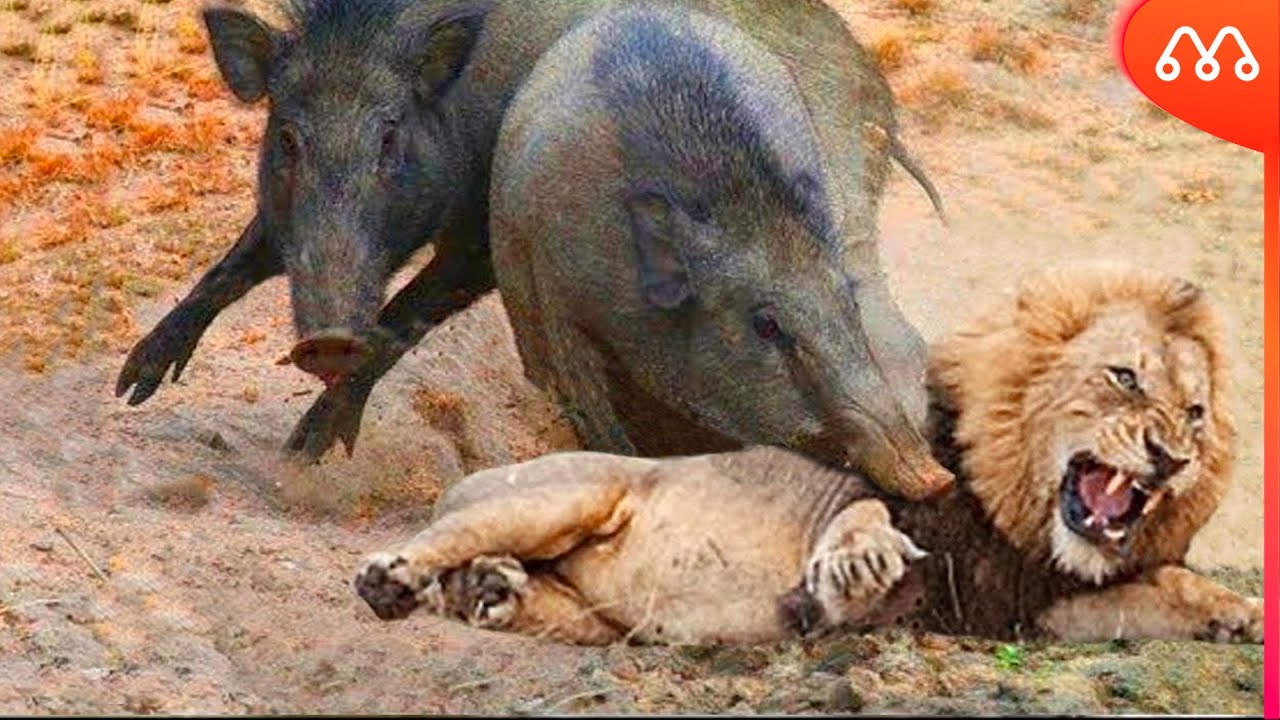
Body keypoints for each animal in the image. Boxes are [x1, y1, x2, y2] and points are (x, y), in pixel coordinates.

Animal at [353, 264, 1262, 645]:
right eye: (1124, 379)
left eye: (1195, 414)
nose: (1171, 456)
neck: (1025, 522)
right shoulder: (888, 480)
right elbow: (866, 515)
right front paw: (852, 572)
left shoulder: (1022, 606)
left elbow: (1162, 593)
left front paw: (1239, 614)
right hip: (561, 494)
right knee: (442, 540)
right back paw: (396, 577)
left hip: (596, 619)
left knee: (521, 594)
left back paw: (489, 592)